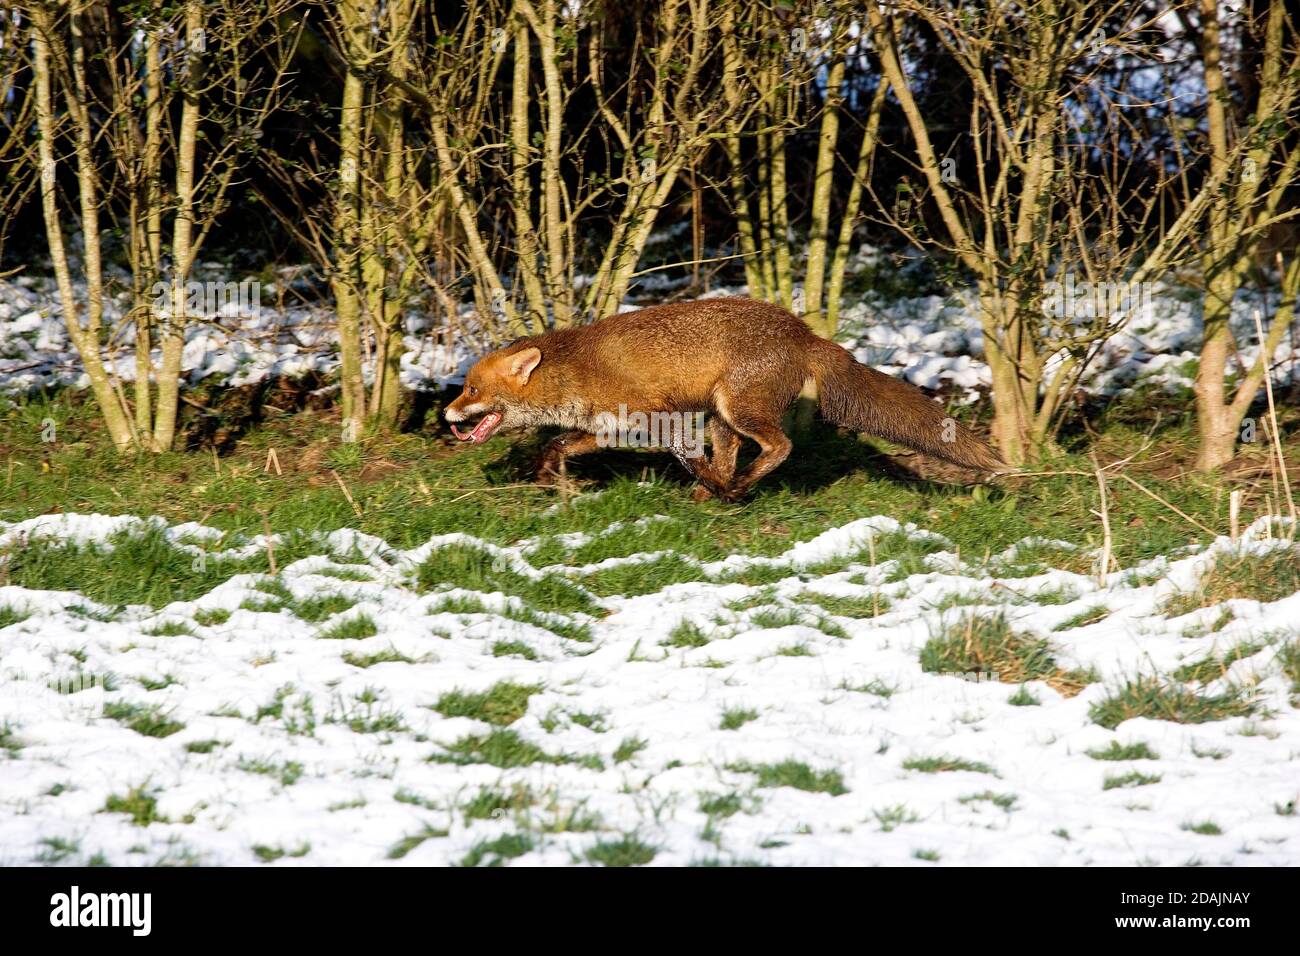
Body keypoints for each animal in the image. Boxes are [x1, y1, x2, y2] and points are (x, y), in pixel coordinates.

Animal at [444, 297, 1005, 502]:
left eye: (471, 389)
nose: (446, 413)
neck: (576, 370)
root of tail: (801, 330)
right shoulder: (605, 427)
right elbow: (555, 447)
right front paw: (550, 480)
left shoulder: (661, 416)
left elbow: (685, 456)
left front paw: (719, 488)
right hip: (721, 415)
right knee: (734, 450)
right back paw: (711, 494)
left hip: (740, 409)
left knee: (778, 448)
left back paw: (733, 488)